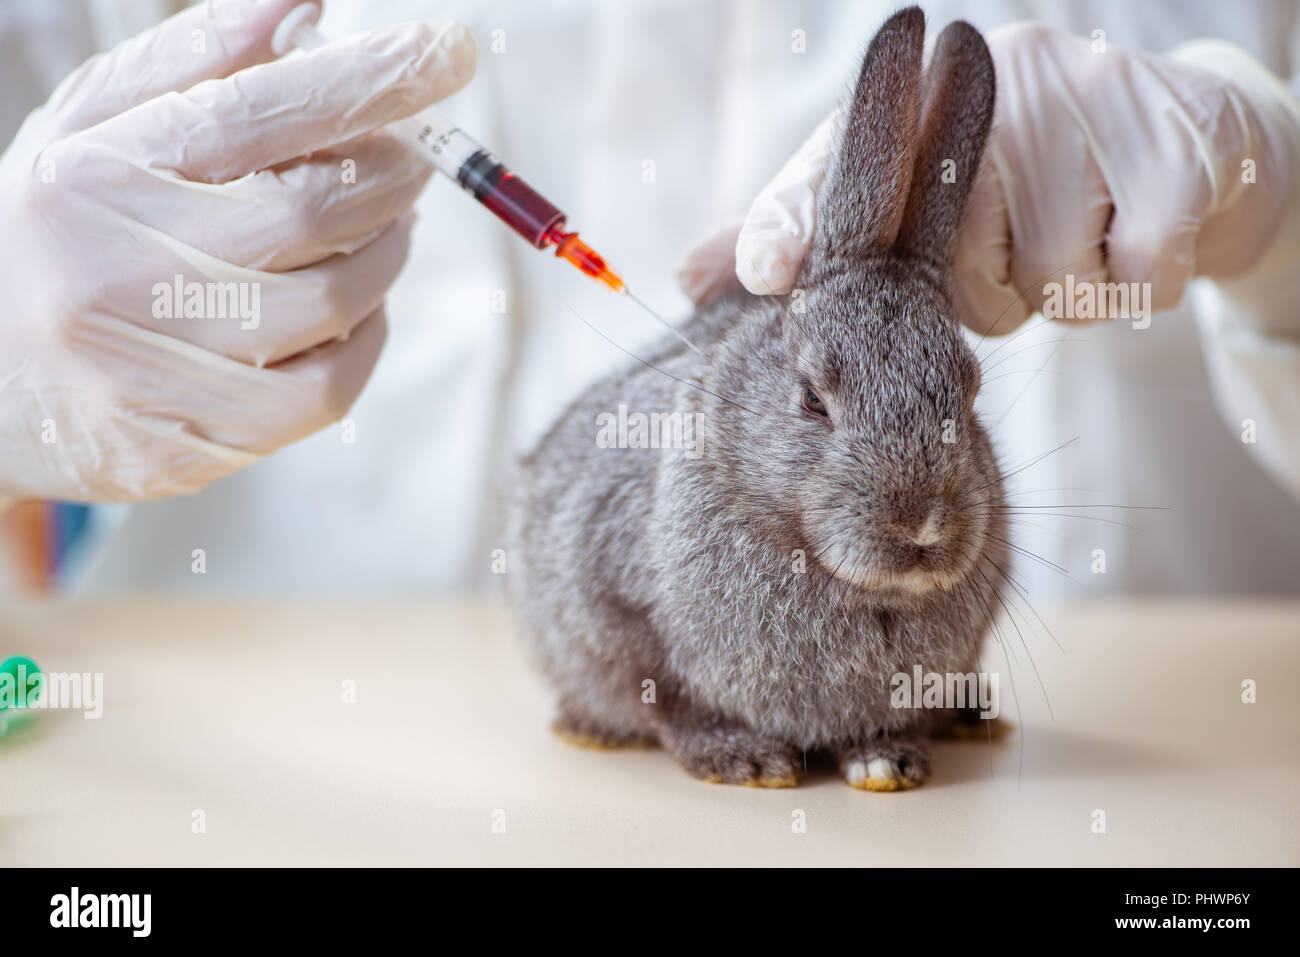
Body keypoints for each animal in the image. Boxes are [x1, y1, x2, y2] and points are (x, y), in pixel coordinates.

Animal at [508, 6, 1007, 790]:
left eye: (970, 390)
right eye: (812, 400)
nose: (924, 526)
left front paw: (887, 760)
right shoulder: (609, 605)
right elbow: (665, 698)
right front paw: (742, 758)